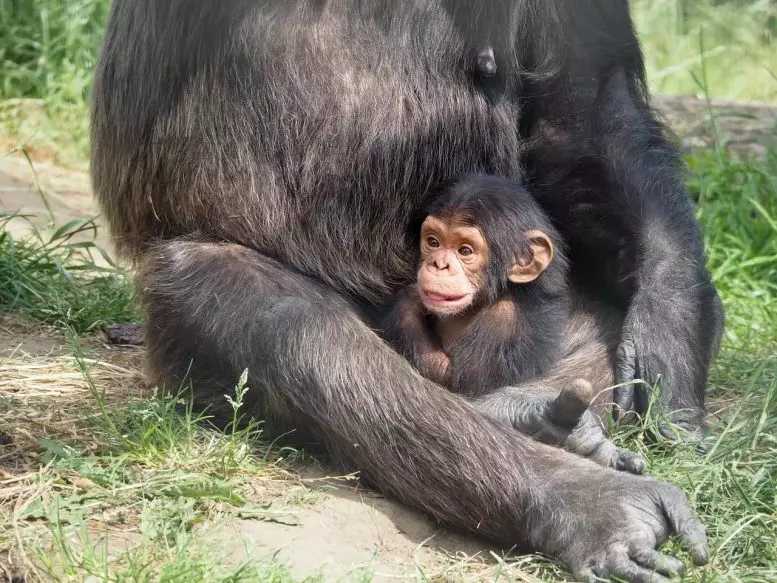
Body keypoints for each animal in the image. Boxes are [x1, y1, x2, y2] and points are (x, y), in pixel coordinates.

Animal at [384, 175, 580, 396]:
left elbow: (455, 380)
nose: (439, 264)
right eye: (433, 242)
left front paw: (409, 301)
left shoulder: (502, 323)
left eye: (465, 251)